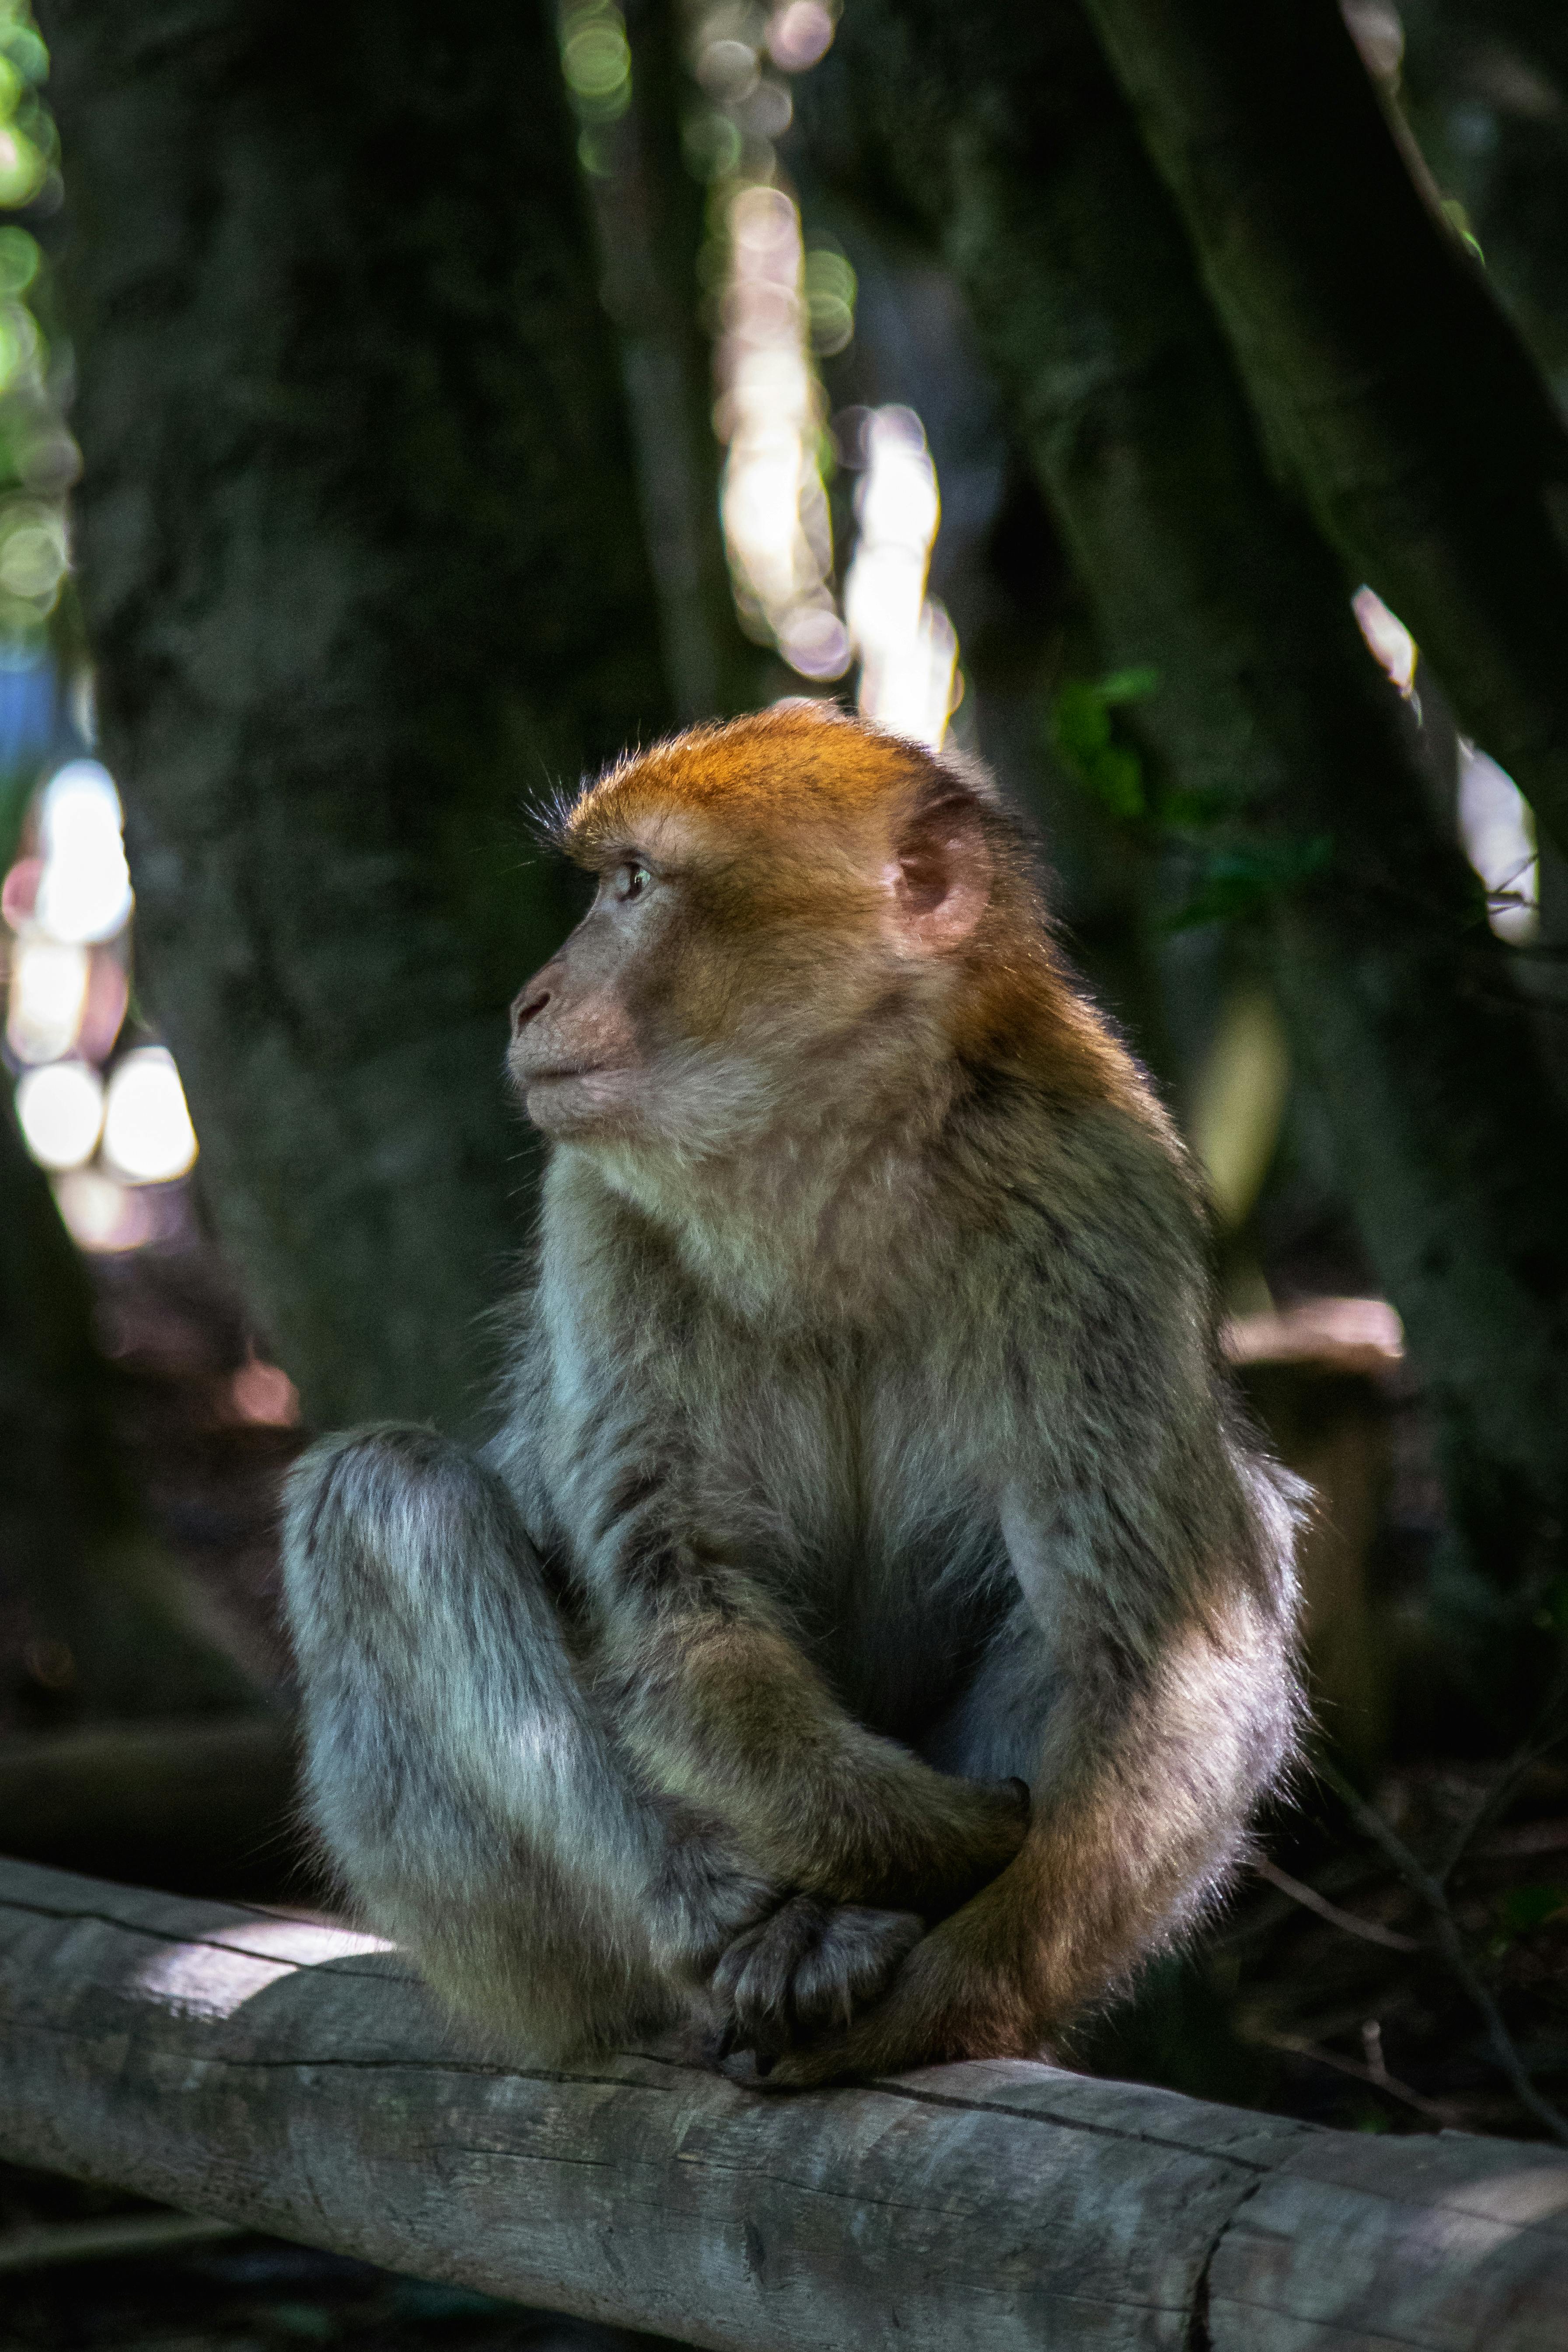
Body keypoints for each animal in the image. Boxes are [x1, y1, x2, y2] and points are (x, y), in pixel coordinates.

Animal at [281, 702, 1302, 2087]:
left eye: (633, 885)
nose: (531, 997)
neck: (829, 1167)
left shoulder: (1101, 1184)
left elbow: (1148, 1633)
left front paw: (959, 1989)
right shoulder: (598, 1214)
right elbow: (677, 1586)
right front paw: (911, 1837)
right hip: (519, 1952)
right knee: (382, 1493)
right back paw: (739, 1915)